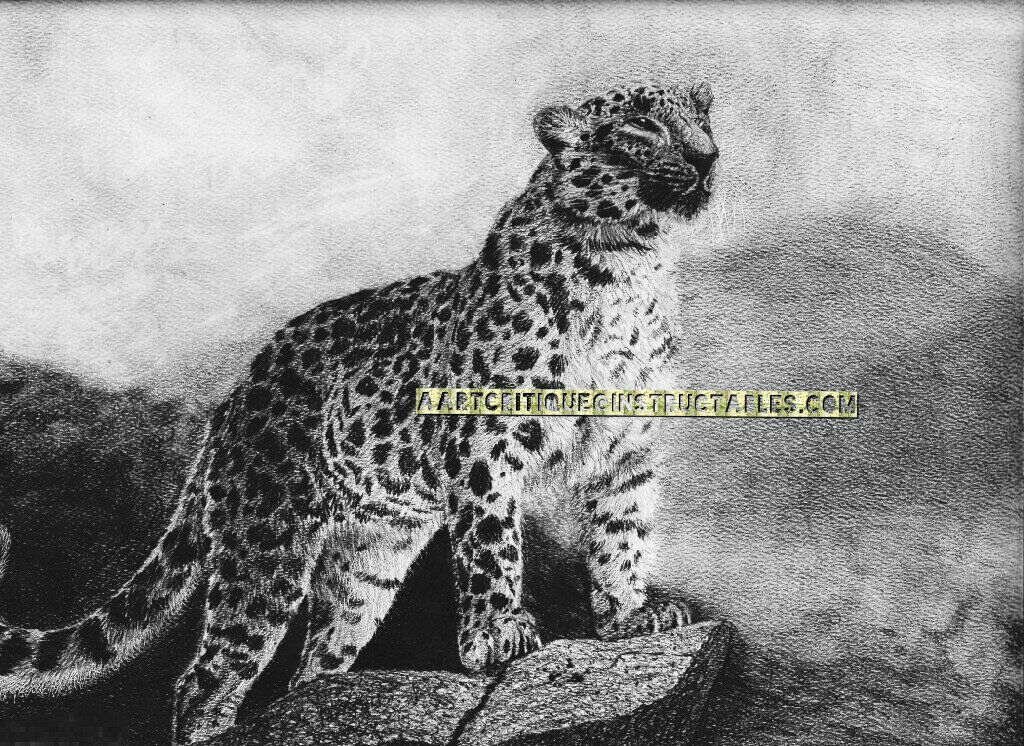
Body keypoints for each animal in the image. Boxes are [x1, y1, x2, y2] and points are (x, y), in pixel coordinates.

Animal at [0, 80, 719, 744]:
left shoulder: (626, 455)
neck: (629, 265)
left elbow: (623, 538)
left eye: (703, 117)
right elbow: (492, 544)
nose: (707, 156)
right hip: (267, 541)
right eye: (643, 126)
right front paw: (497, 633)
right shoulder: (484, 445)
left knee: (313, 667)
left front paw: (629, 616)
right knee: (208, 677)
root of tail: (229, 404)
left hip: (368, 558)